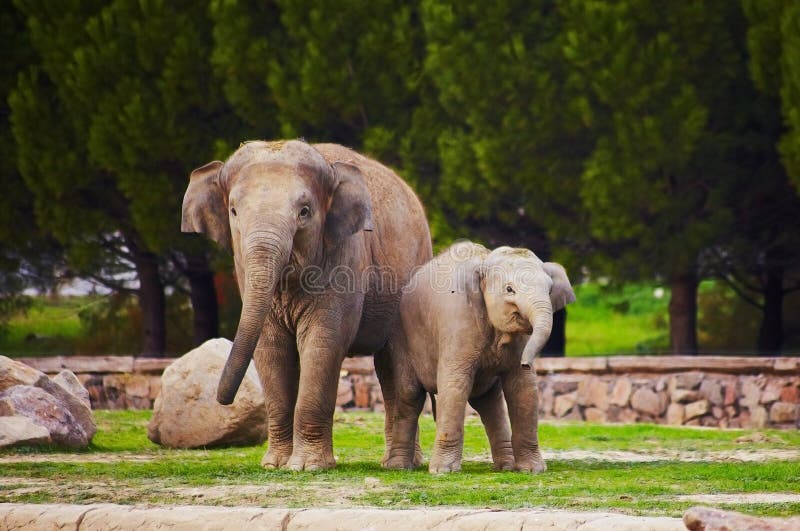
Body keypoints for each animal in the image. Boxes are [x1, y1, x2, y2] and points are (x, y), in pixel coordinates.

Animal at [181, 140, 432, 470]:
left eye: (304, 212)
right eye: (233, 211)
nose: (222, 400)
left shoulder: (345, 257)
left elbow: (323, 342)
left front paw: (307, 466)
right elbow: (270, 346)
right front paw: (275, 465)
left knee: (392, 364)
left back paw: (397, 465)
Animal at [379, 241, 575, 473]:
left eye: (550, 290)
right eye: (509, 289)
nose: (527, 363)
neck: (484, 263)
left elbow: (523, 388)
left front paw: (532, 470)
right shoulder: (458, 319)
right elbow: (455, 384)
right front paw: (443, 472)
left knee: (489, 402)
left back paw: (505, 467)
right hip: (401, 340)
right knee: (410, 395)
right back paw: (398, 467)